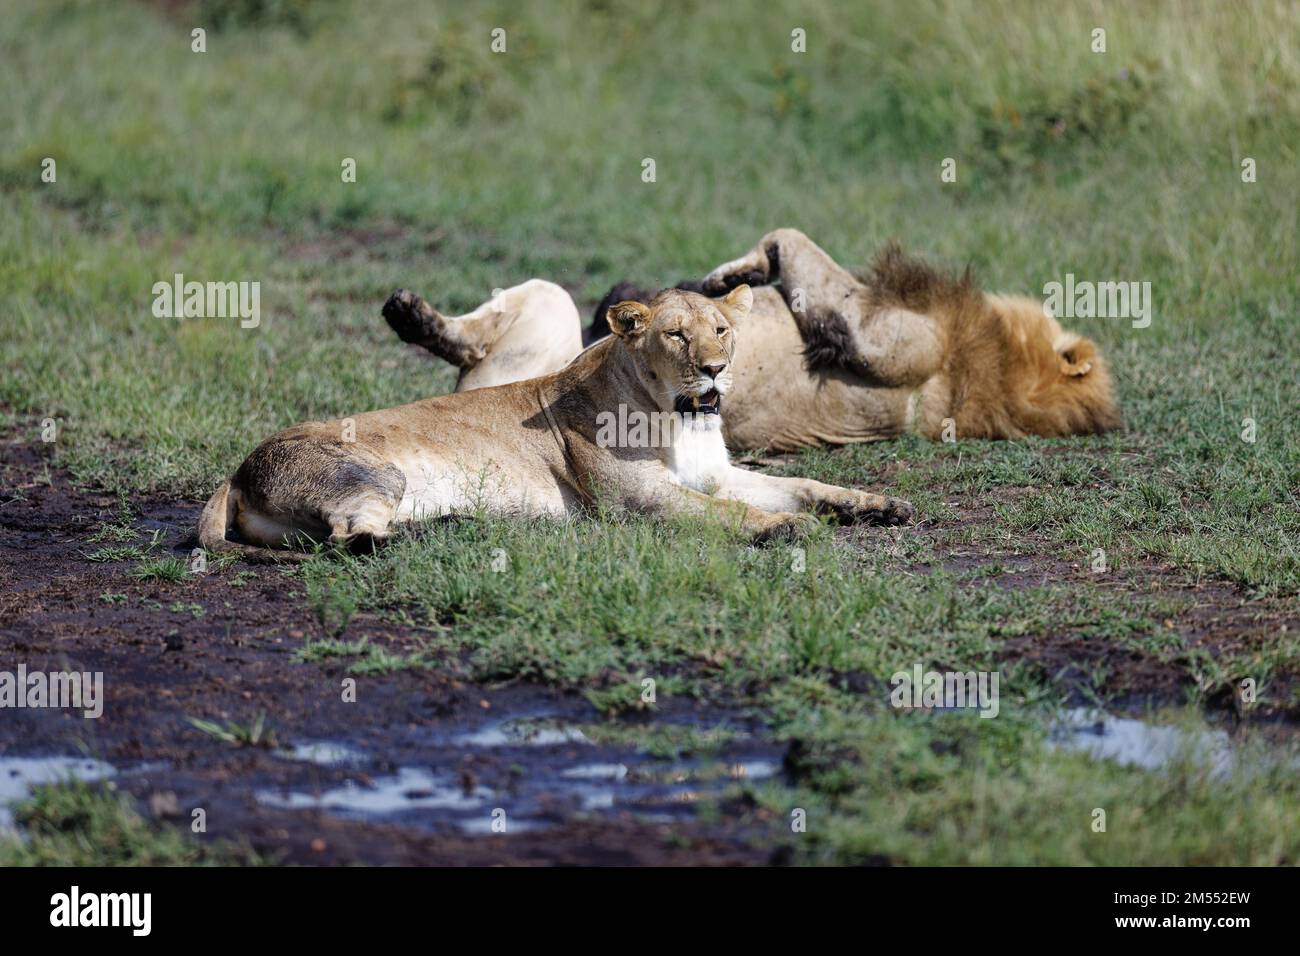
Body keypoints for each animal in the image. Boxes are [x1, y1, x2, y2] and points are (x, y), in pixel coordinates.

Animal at [198, 284, 913, 560]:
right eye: (676, 336)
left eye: (722, 330)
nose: (713, 370)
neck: (680, 418)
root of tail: (237, 469)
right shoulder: (637, 500)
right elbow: (729, 514)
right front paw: (783, 529)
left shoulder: (720, 474)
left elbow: (804, 486)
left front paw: (879, 505)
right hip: (375, 473)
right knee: (350, 534)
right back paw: (429, 534)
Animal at [383, 229, 1121, 452]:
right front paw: (726, 278)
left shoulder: (897, 341)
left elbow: (789, 237)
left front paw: (727, 276)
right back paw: (408, 312)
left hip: (536, 340)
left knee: (525, 319)